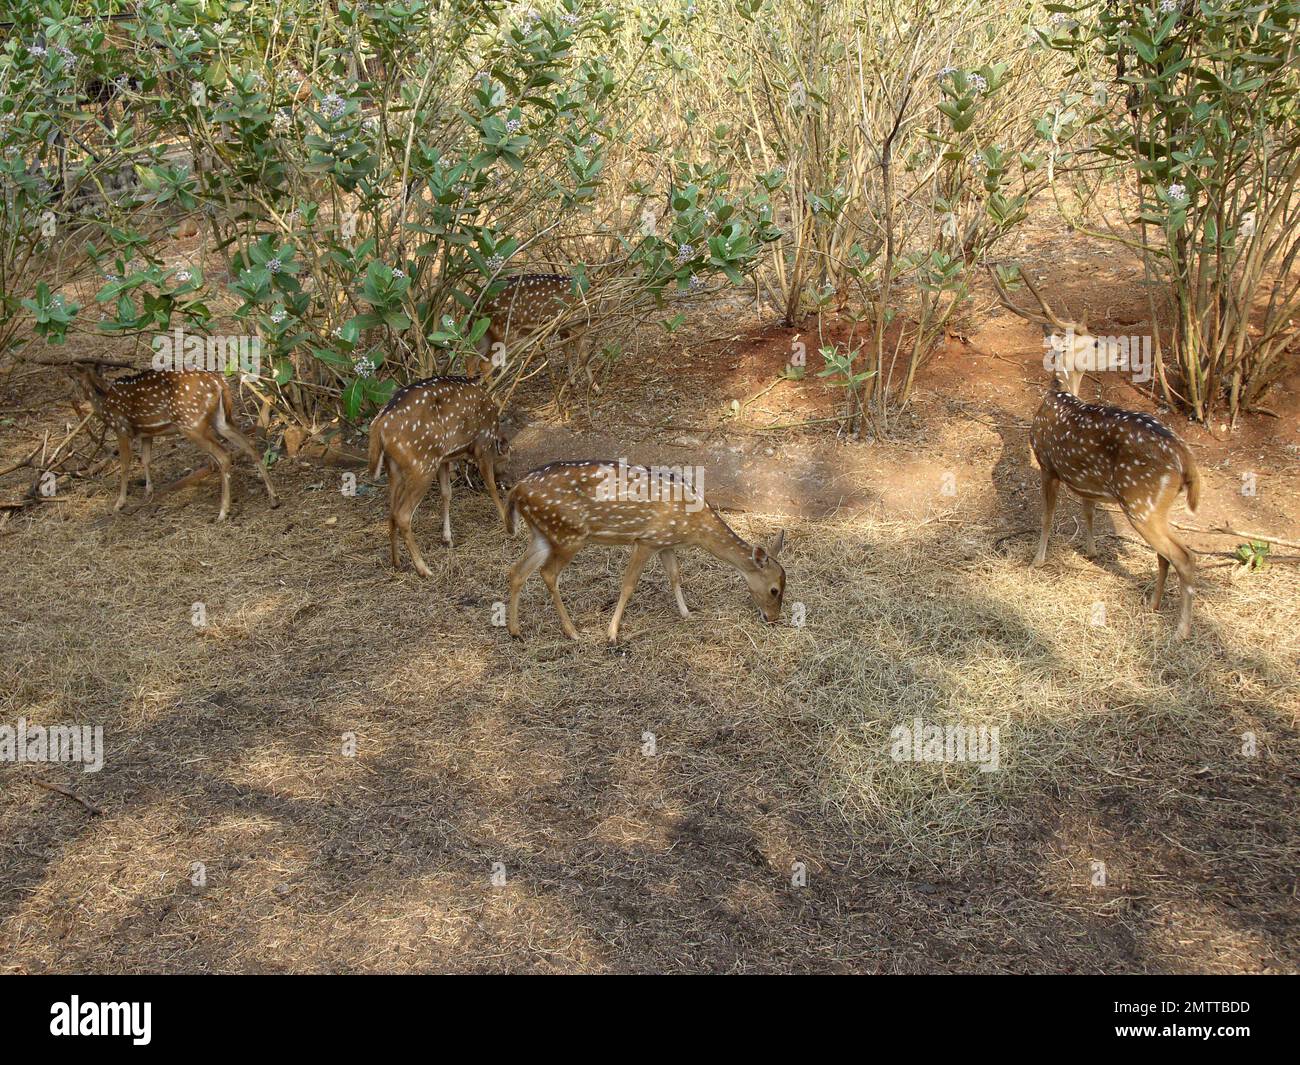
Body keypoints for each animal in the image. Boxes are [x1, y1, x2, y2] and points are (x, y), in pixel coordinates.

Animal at [65, 361, 279, 521]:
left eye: (76, 379)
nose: (72, 398)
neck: (103, 402)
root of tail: (220, 384)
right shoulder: (146, 433)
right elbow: (146, 459)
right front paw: (148, 492)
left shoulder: (121, 428)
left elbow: (125, 465)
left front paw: (119, 503)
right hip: (221, 419)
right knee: (249, 444)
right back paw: (274, 498)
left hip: (191, 423)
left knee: (224, 455)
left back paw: (222, 512)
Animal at [367, 375, 509, 577]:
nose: (509, 482)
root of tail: (378, 425)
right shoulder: (482, 444)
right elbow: (491, 485)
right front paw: (506, 520)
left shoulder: (444, 459)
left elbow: (446, 493)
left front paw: (447, 539)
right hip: (423, 465)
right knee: (402, 514)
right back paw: (423, 569)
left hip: (394, 468)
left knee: (392, 511)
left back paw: (397, 561)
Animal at [503, 459, 787, 643]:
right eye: (775, 589)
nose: (773, 619)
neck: (695, 528)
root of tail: (516, 489)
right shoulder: (646, 540)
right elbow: (628, 585)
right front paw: (612, 634)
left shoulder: (665, 543)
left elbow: (675, 576)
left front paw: (687, 614)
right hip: (569, 534)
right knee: (547, 573)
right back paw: (572, 632)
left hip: (543, 533)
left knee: (516, 571)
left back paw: (515, 630)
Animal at [990, 266, 1203, 639]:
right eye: (1095, 342)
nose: (1122, 352)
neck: (1058, 395)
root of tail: (1184, 458)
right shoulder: (1082, 478)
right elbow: (1087, 511)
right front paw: (1090, 551)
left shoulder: (1047, 463)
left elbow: (1046, 516)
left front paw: (1038, 560)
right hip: (1154, 509)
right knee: (1166, 555)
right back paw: (1153, 604)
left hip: (1141, 502)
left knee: (1184, 556)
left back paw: (1181, 630)